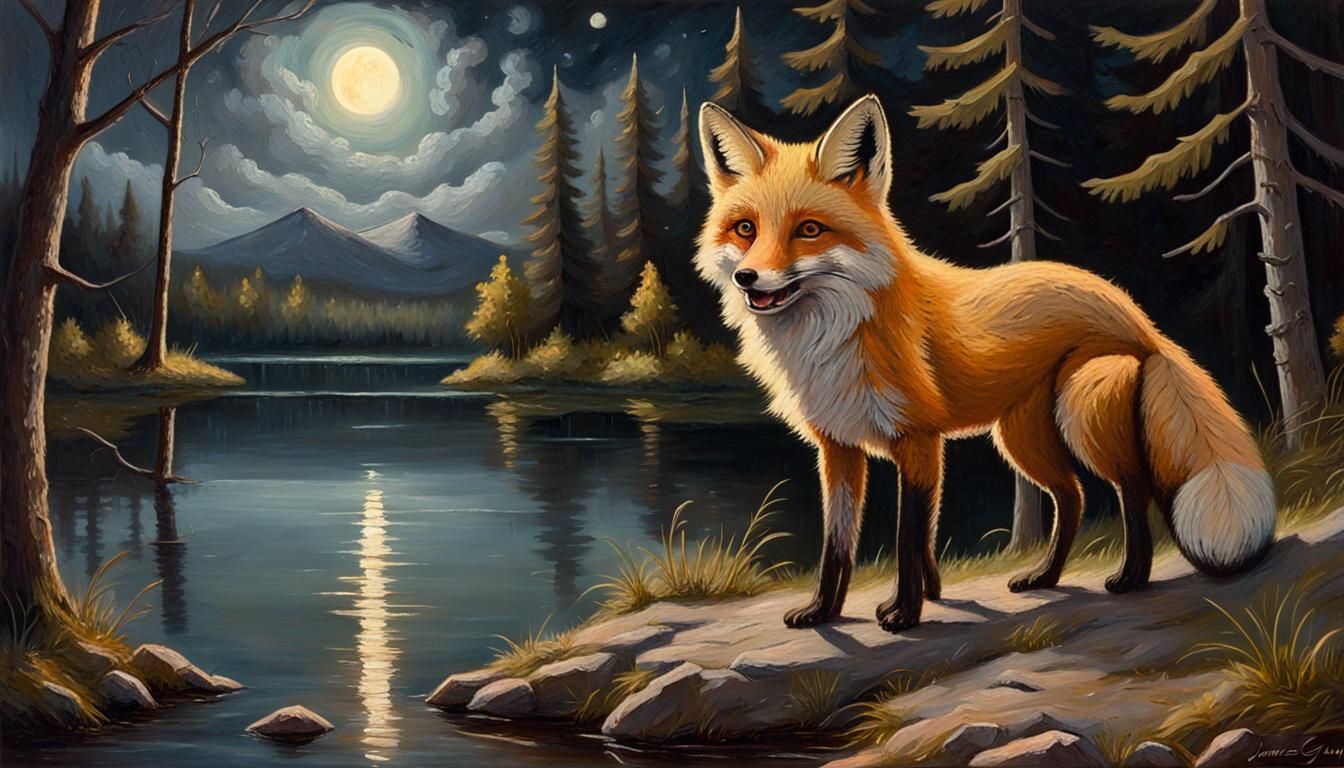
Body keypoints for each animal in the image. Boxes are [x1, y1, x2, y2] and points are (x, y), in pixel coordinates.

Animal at [693, 94, 1276, 633]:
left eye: (809, 230)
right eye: (745, 229)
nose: (748, 278)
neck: (831, 339)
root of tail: (1135, 313)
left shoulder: (918, 441)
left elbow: (907, 537)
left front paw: (905, 612)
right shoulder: (839, 447)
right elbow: (842, 544)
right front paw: (827, 611)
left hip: (1079, 415)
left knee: (1133, 490)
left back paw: (1130, 579)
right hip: (1022, 439)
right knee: (1072, 499)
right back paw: (1044, 578)